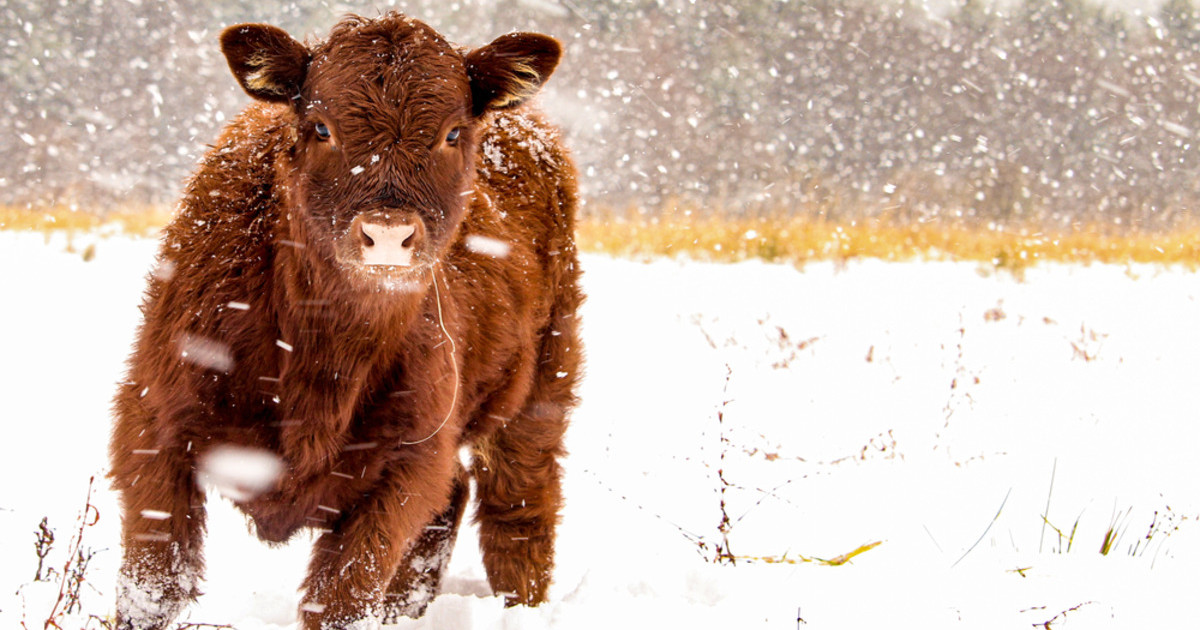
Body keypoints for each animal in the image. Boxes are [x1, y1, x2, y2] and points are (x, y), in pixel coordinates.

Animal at [108, 12, 582, 629]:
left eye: (453, 133)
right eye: (321, 127)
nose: (388, 234)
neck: (322, 354)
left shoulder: (403, 468)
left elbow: (340, 595)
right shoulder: (153, 425)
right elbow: (155, 581)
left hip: (539, 395)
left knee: (518, 512)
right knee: (452, 504)